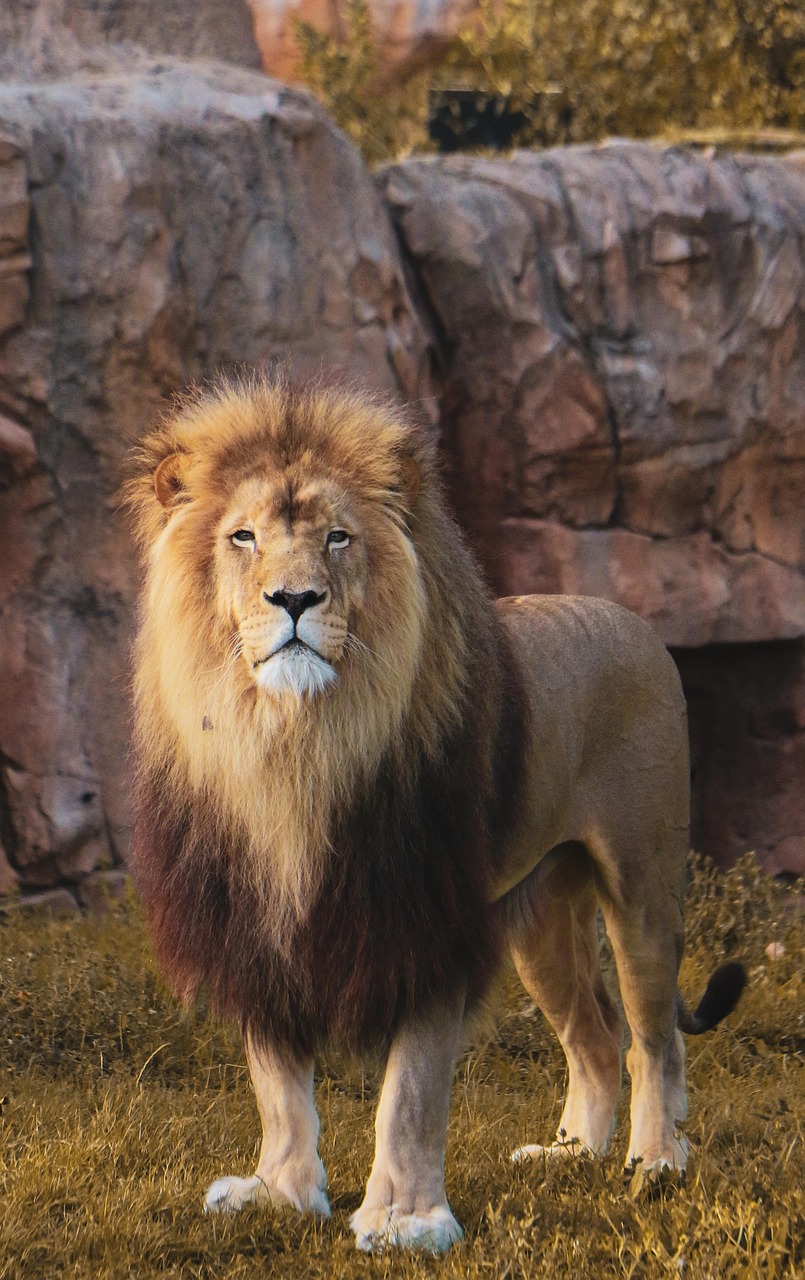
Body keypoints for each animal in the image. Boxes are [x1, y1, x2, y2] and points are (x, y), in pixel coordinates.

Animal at [127, 377, 745, 1253]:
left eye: (339, 538)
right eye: (241, 537)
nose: (293, 599)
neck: (295, 749)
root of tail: (628, 618)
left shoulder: (423, 920)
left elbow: (411, 1090)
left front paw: (404, 1219)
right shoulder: (255, 921)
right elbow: (277, 1084)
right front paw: (281, 1193)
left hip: (642, 885)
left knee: (651, 1039)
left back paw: (656, 1163)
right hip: (540, 916)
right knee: (593, 1034)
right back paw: (571, 1155)